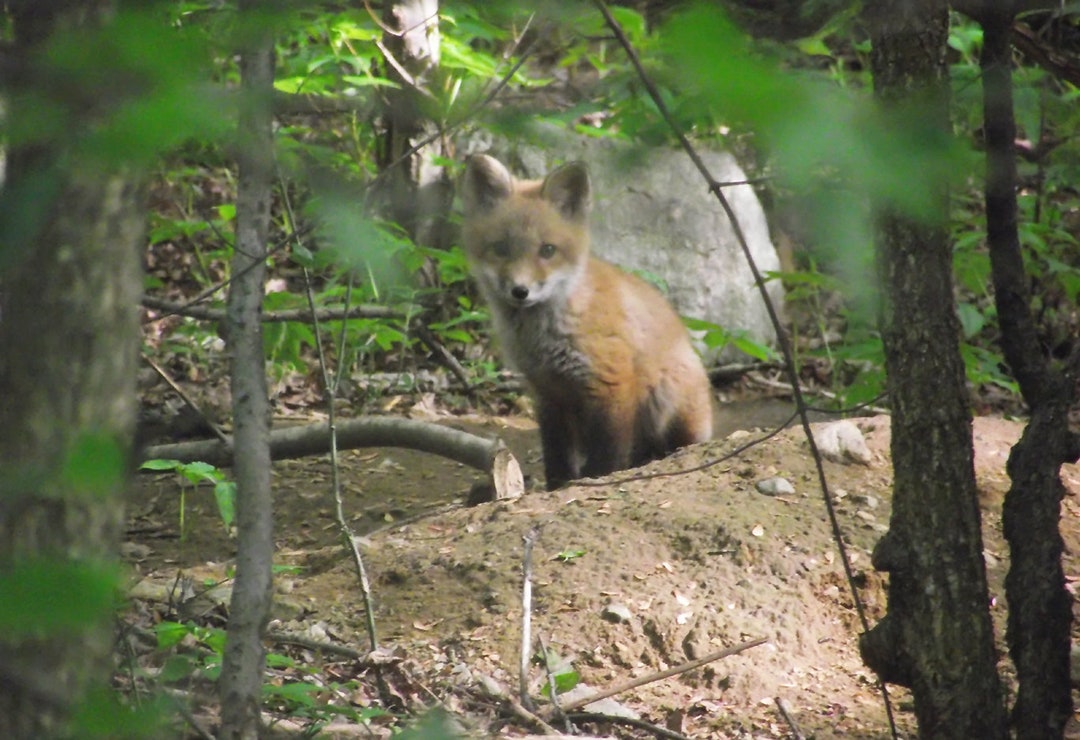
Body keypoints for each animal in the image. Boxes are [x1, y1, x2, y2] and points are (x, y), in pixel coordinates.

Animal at [461, 153, 713, 490]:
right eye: (501, 248)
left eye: (547, 250)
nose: (520, 291)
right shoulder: (548, 395)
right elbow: (556, 454)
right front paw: (557, 485)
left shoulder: (611, 384)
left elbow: (607, 455)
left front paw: (596, 480)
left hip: (669, 399)